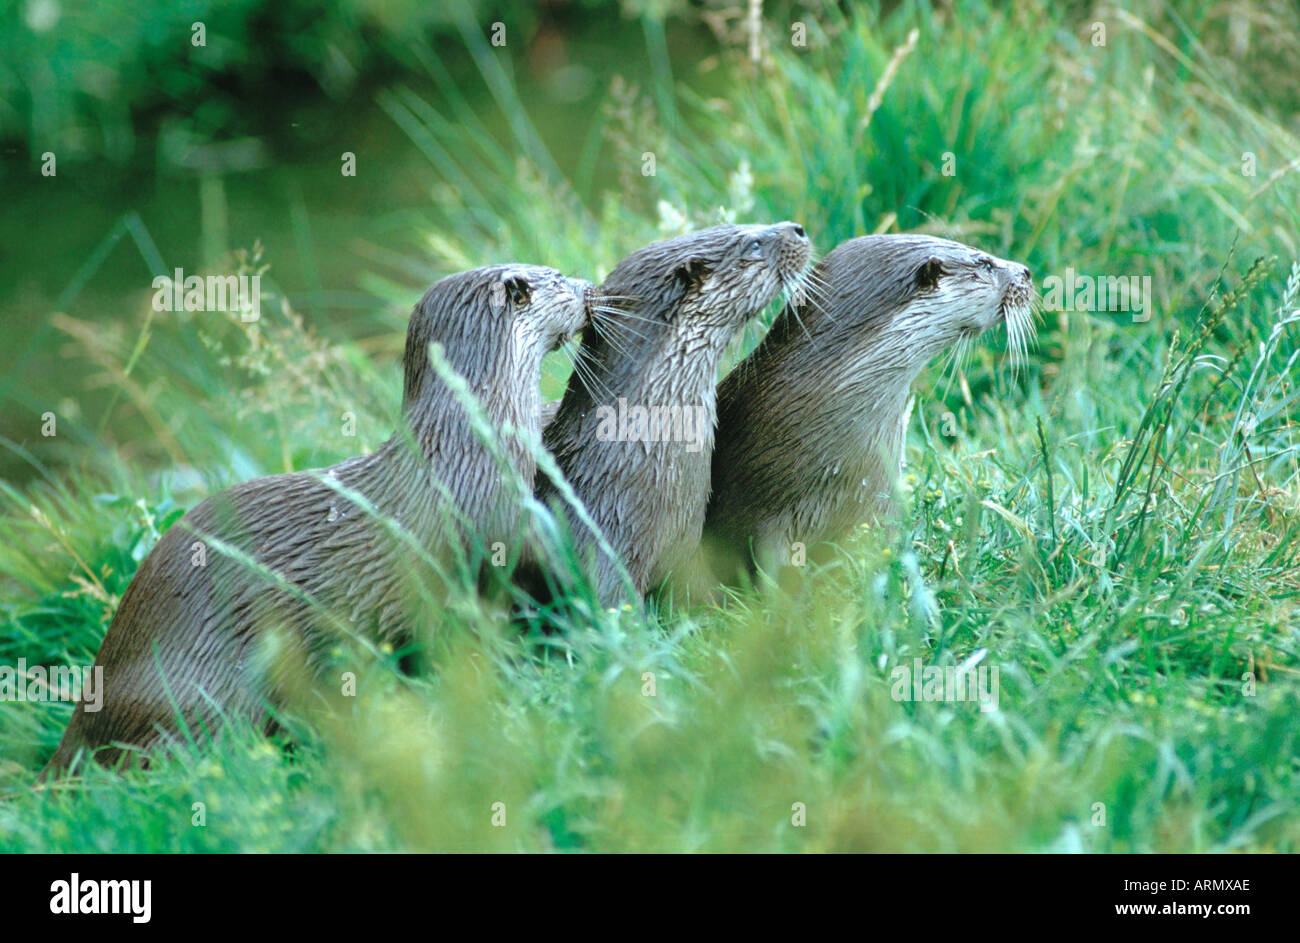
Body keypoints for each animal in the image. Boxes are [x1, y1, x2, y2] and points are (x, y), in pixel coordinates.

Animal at [42, 265, 591, 775]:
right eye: (558, 276)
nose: (591, 287)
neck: (468, 446)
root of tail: (88, 708)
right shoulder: (493, 517)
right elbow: (531, 557)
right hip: (198, 693)